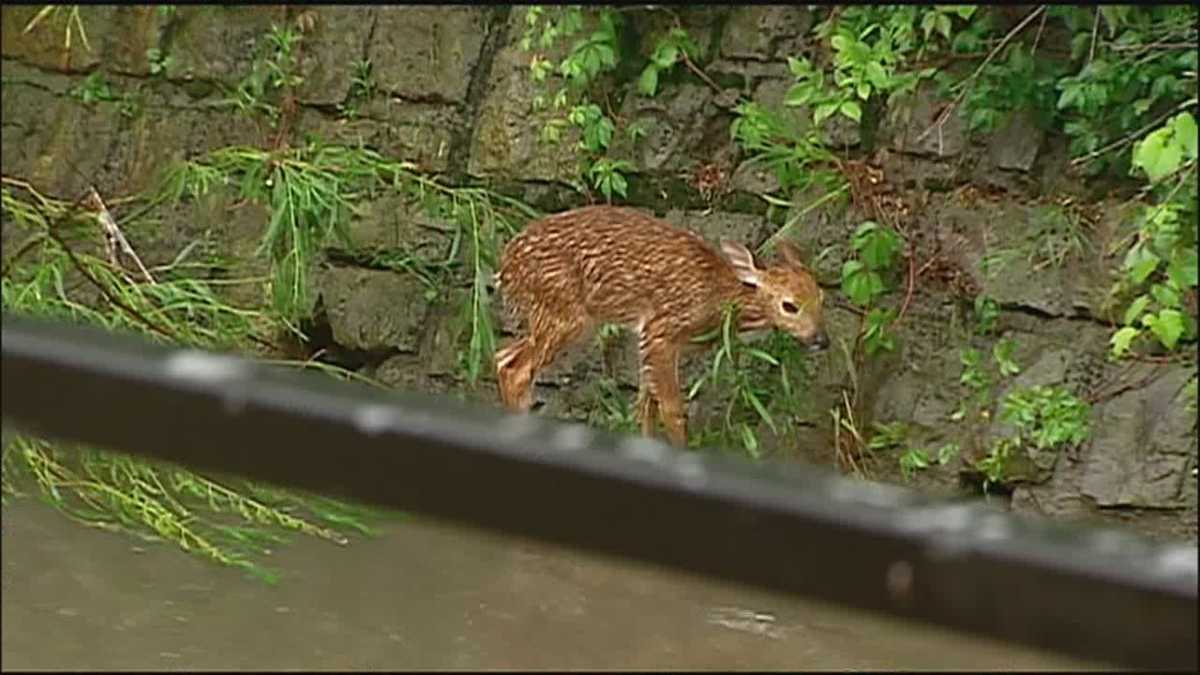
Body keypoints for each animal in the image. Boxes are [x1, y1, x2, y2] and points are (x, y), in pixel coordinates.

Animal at [494, 205, 829, 447]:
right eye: (789, 305)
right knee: (516, 370)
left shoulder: (656, 340)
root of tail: (505, 268)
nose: (822, 339)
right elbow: (672, 409)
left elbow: (646, 405)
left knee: (502, 357)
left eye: (821, 297)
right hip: (564, 313)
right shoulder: (662, 330)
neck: (716, 298)